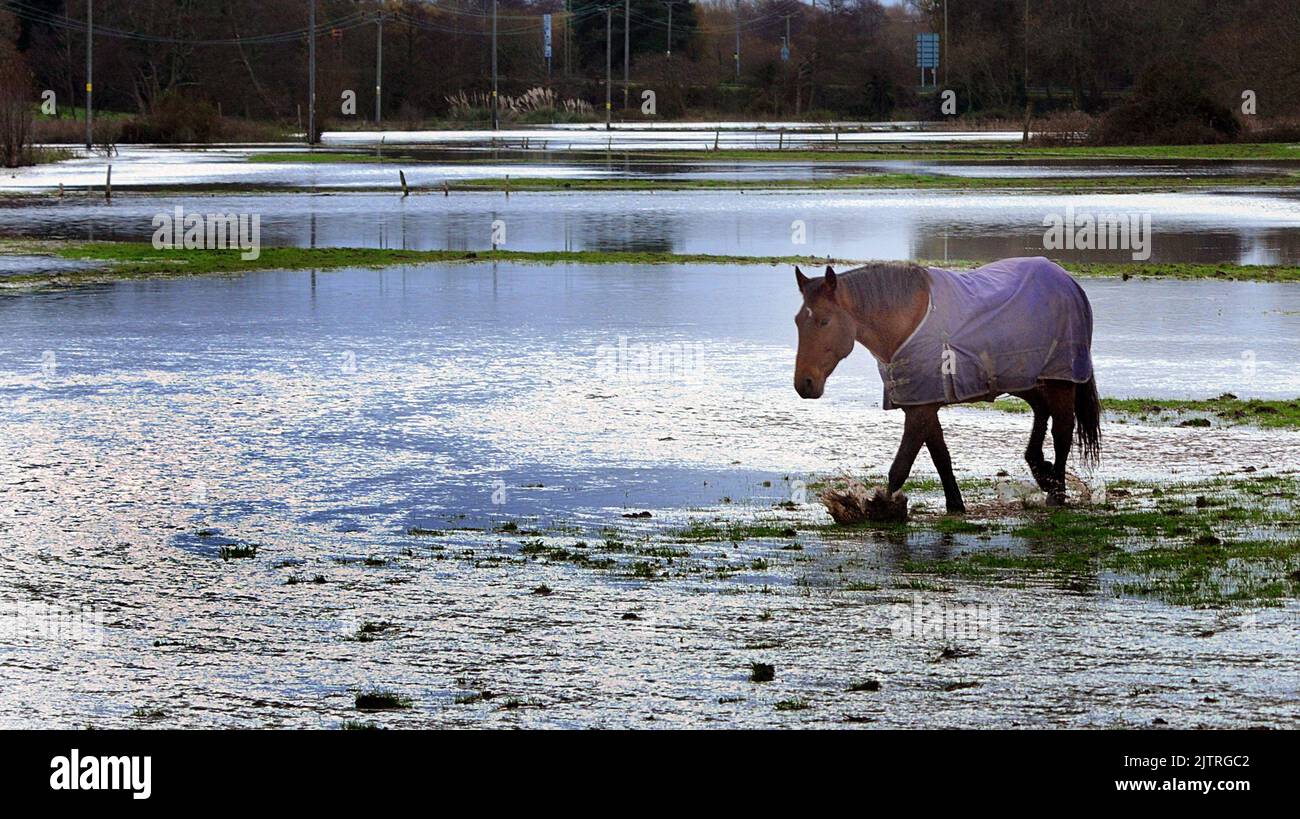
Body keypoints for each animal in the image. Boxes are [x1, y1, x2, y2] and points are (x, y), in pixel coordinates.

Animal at [792, 256, 1101, 512]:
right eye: (797, 321)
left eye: (824, 321)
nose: (804, 383)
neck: (905, 323)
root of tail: (1067, 280)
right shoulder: (920, 403)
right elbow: (940, 456)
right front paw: (955, 504)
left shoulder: (920, 407)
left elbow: (900, 467)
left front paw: (883, 510)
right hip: (1024, 379)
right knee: (1041, 412)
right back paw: (1042, 472)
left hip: (1061, 380)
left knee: (1062, 433)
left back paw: (1056, 493)